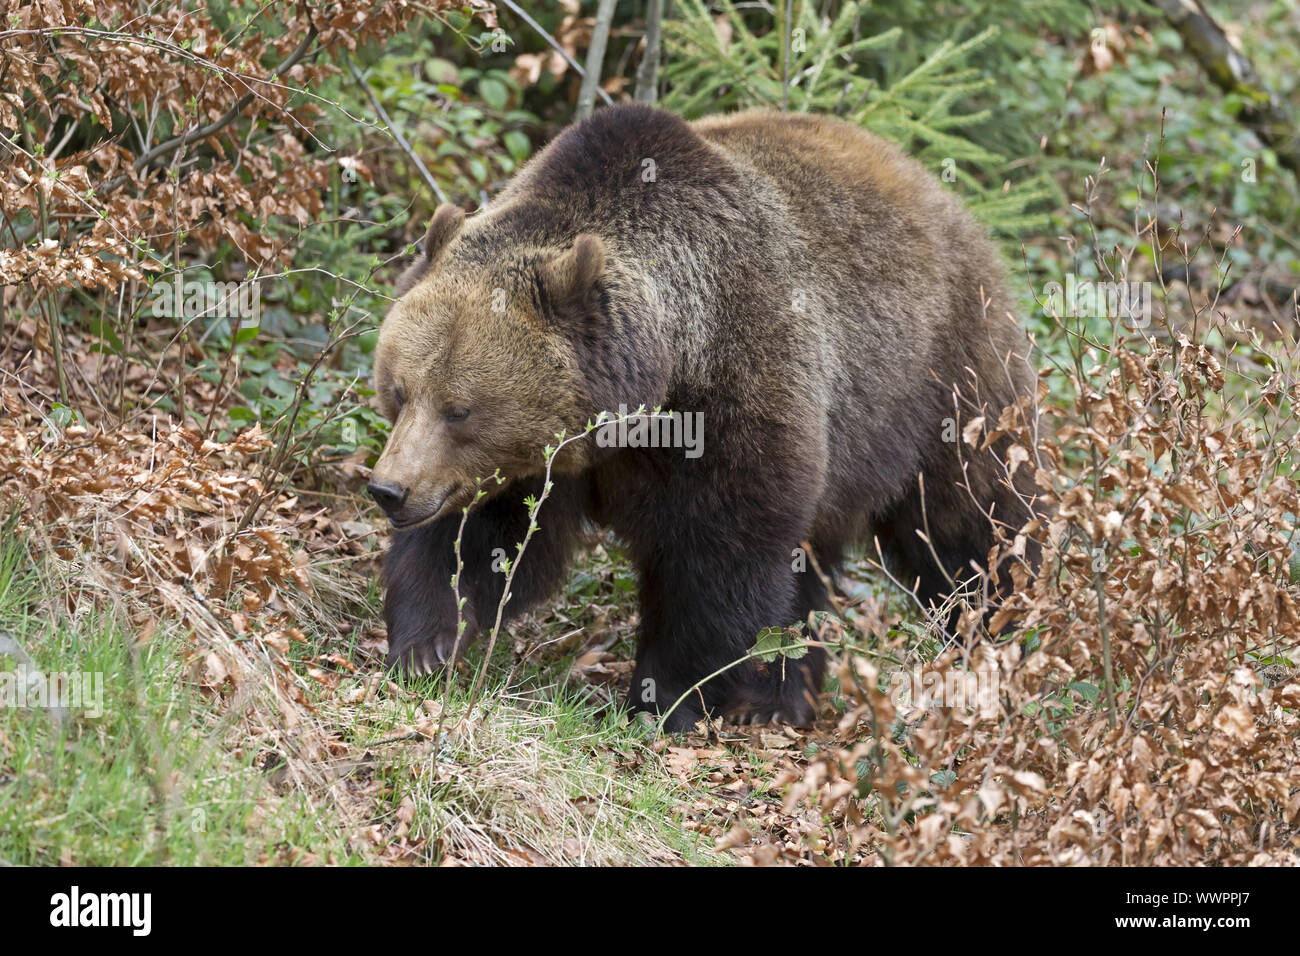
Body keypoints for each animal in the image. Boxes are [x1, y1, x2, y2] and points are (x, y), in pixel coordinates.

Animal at [368, 104, 1037, 732]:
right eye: (399, 390)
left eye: (459, 410)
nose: (388, 490)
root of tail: (936, 188)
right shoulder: (541, 464)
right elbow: (485, 540)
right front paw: (425, 643)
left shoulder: (737, 397)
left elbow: (719, 561)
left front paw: (664, 698)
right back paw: (783, 696)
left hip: (943, 379)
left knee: (973, 518)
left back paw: (1003, 627)